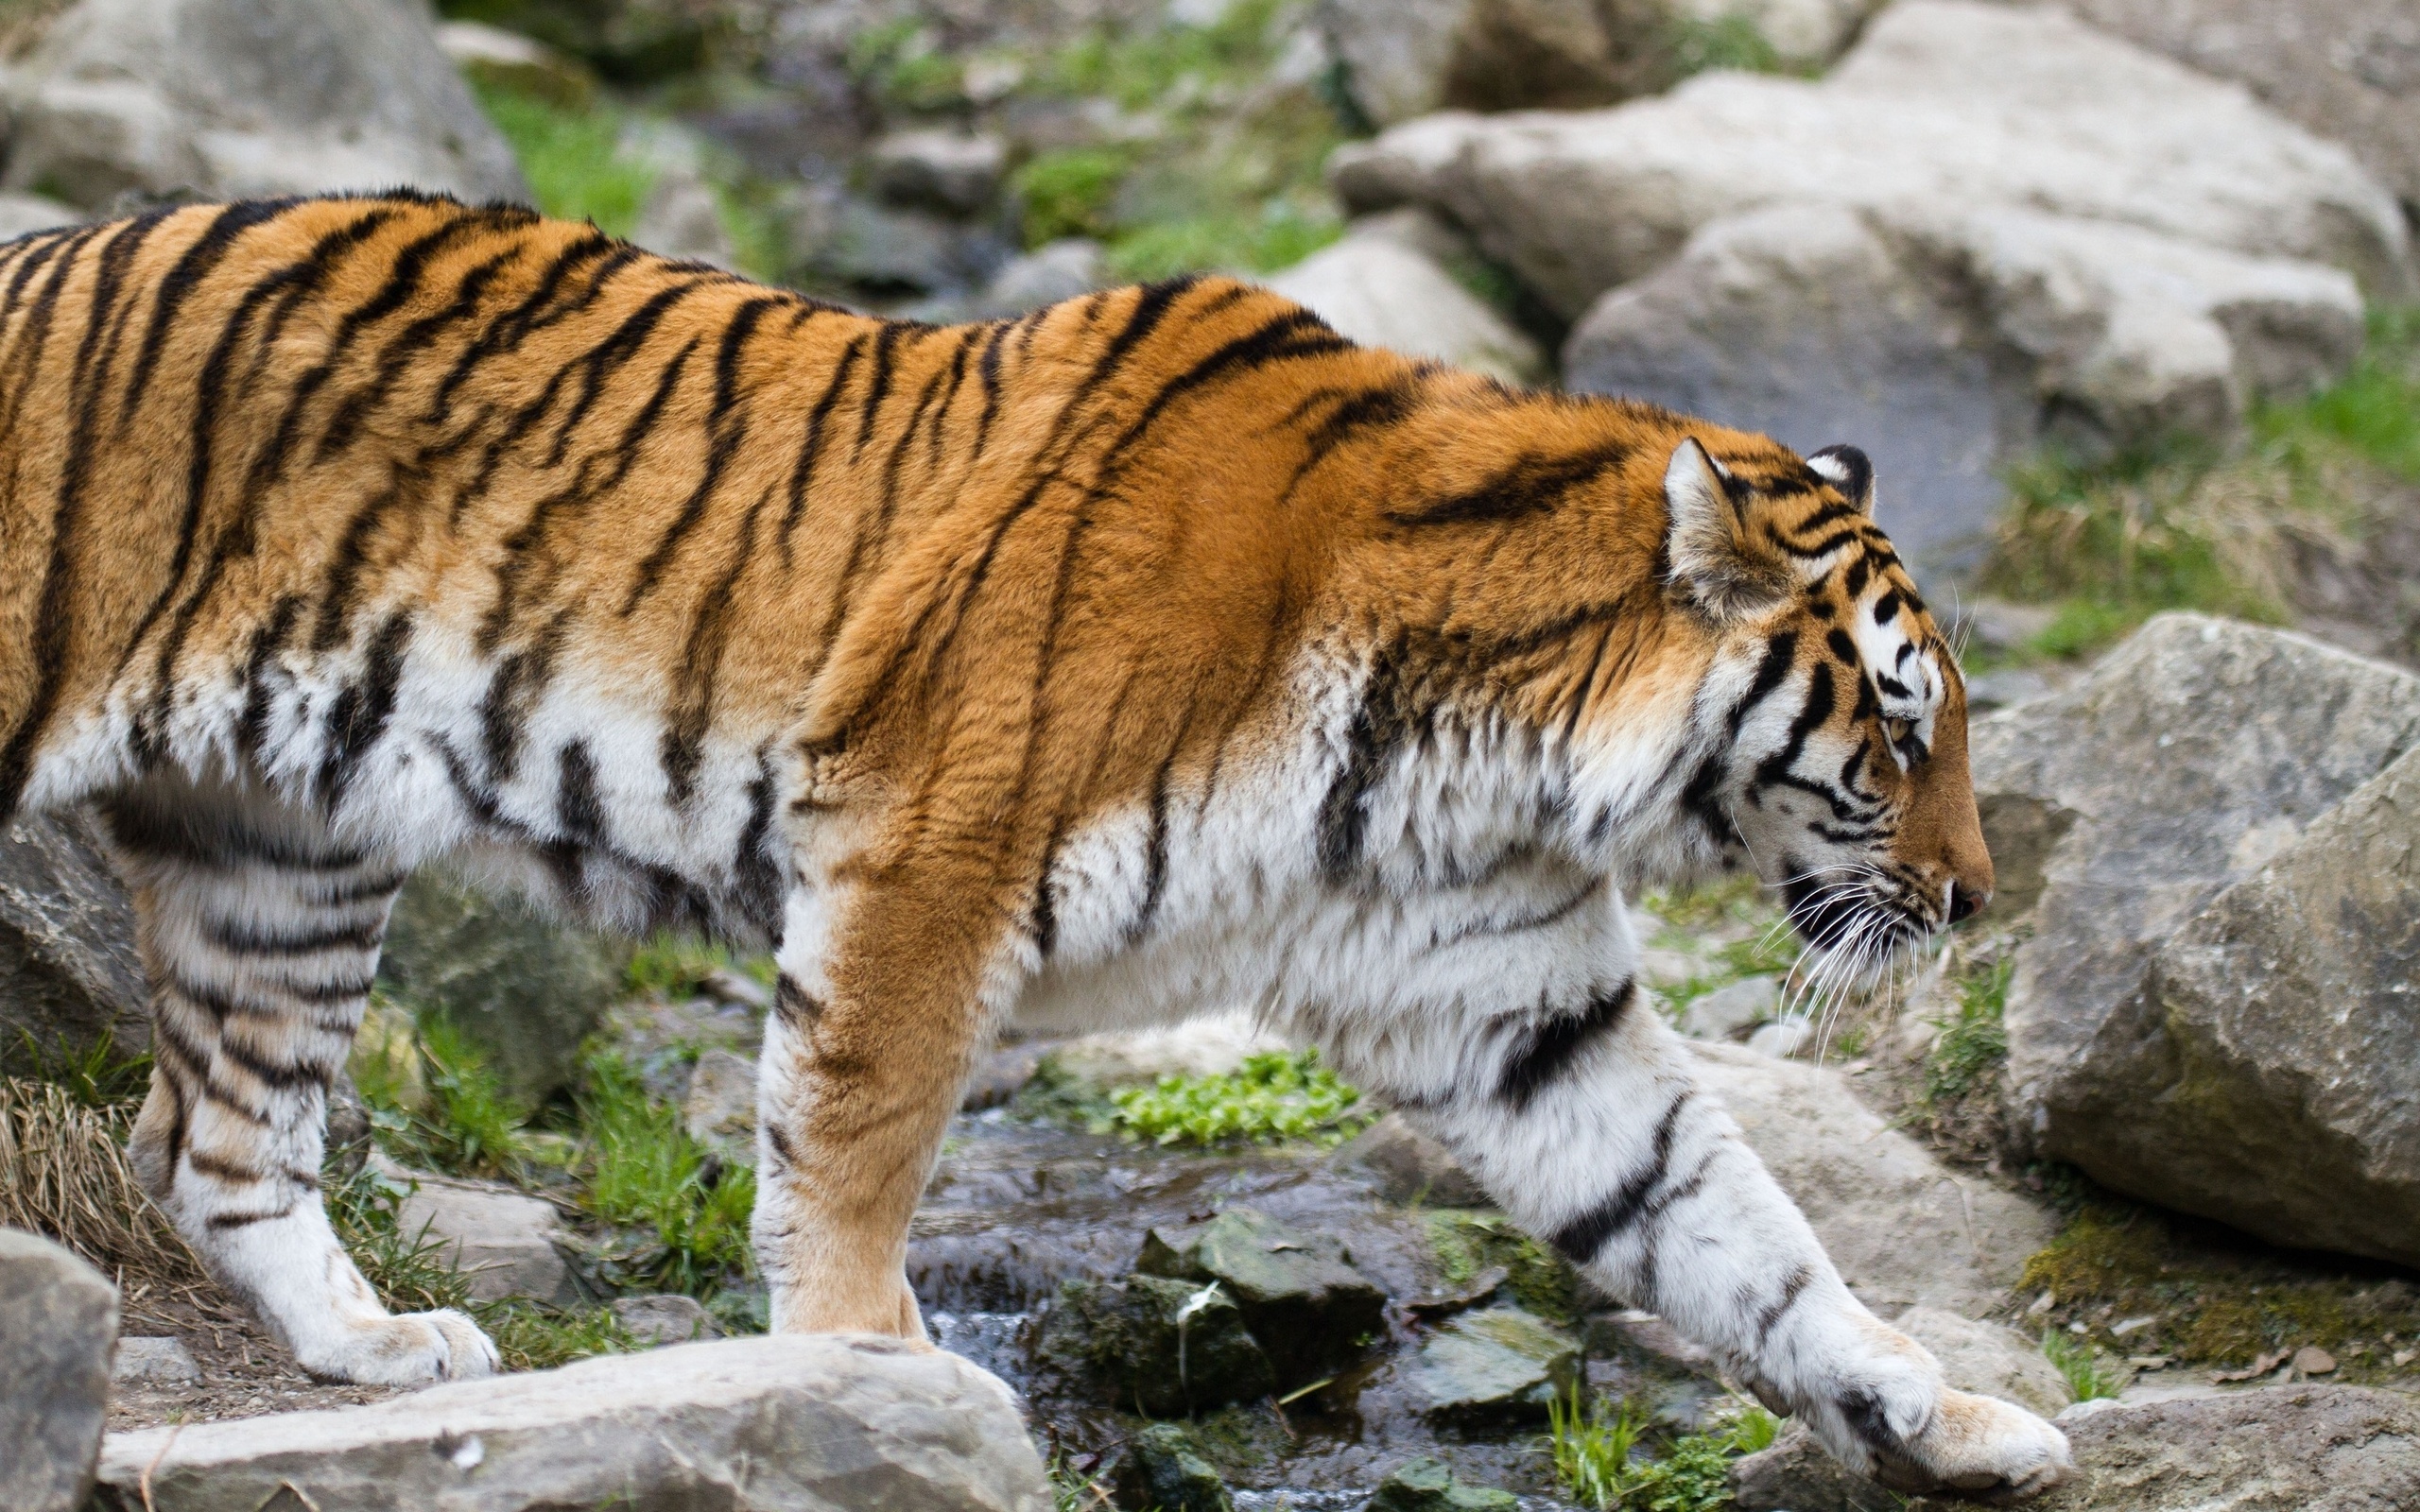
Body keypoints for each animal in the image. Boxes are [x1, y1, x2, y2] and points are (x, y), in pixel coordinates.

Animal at [0, 192, 2069, 1496]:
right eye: (1898, 731)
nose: (1977, 899)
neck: (1485, 745)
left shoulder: (1512, 1000)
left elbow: (1732, 1225)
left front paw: (1937, 1412)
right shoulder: (924, 848)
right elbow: (856, 1140)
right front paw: (869, 1370)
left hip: (284, 851)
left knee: (220, 1147)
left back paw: (374, 1355)